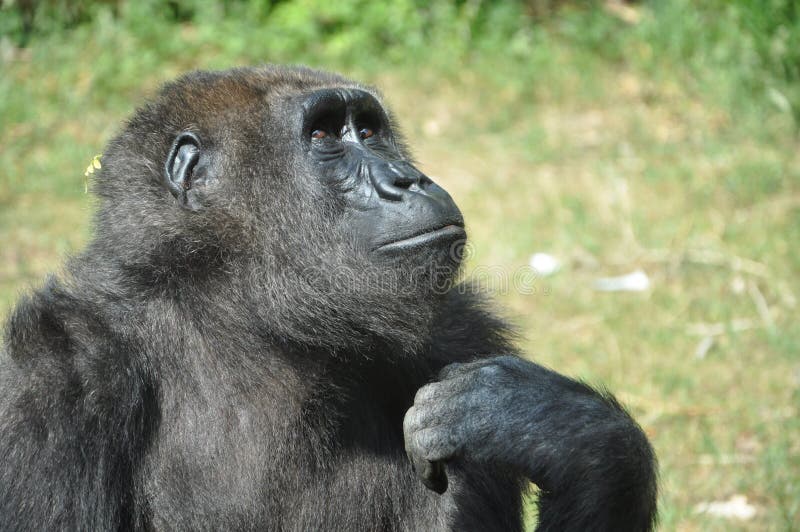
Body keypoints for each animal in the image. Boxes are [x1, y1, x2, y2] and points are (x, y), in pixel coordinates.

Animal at [0, 66, 656, 531]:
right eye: (322, 135)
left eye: (368, 130)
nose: (408, 179)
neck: (237, 321)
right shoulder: (47, 381)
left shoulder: (461, 333)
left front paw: (567, 433)